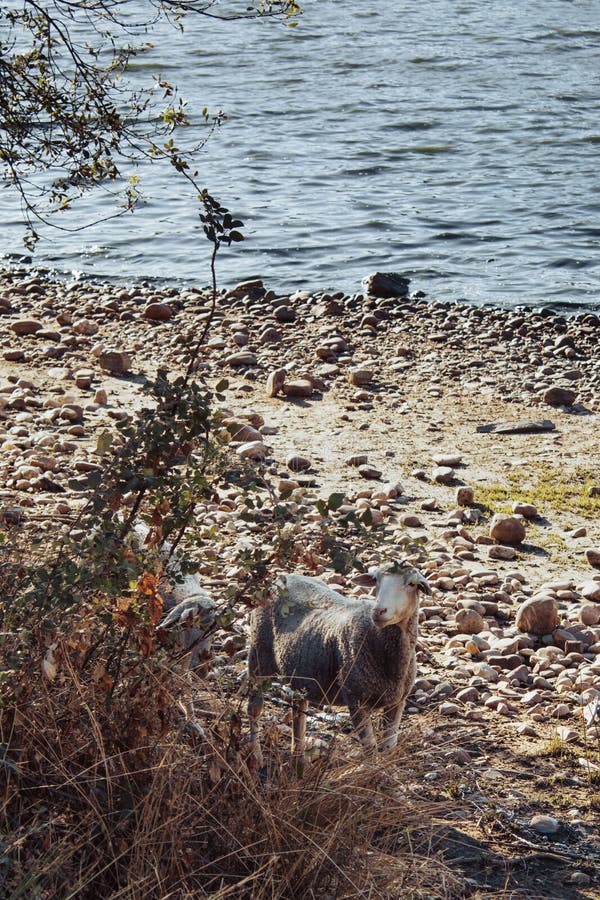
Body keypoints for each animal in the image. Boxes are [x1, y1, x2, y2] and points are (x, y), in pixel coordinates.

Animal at [247, 561, 430, 762]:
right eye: (376, 581)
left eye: (412, 583)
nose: (378, 611)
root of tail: (282, 578)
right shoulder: (356, 698)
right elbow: (370, 750)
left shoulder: (397, 701)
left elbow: (389, 747)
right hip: (259, 656)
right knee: (254, 707)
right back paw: (256, 755)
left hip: (299, 671)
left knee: (298, 710)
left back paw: (299, 757)